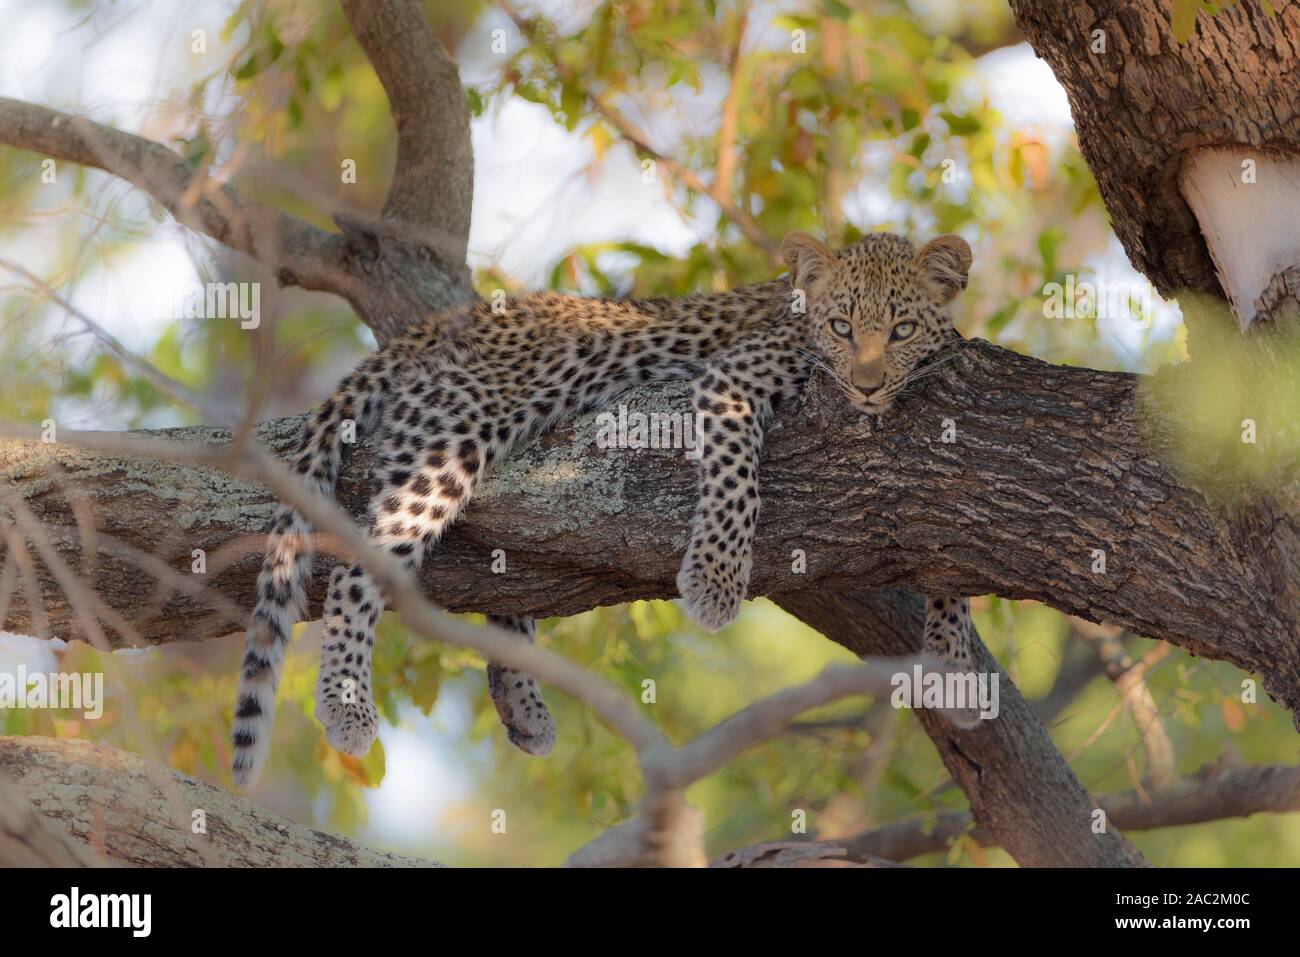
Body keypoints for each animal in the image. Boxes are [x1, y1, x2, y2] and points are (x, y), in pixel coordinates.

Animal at [230, 229, 981, 787]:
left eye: (902, 328)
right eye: (841, 326)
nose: (868, 384)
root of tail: (440, 322)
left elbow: (953, 557)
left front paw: (955, 660)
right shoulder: (732, 379)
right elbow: (735, 481)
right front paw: (715, 581)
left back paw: (524, 705)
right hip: (457, 428)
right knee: (360, 568)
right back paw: (347, 707)